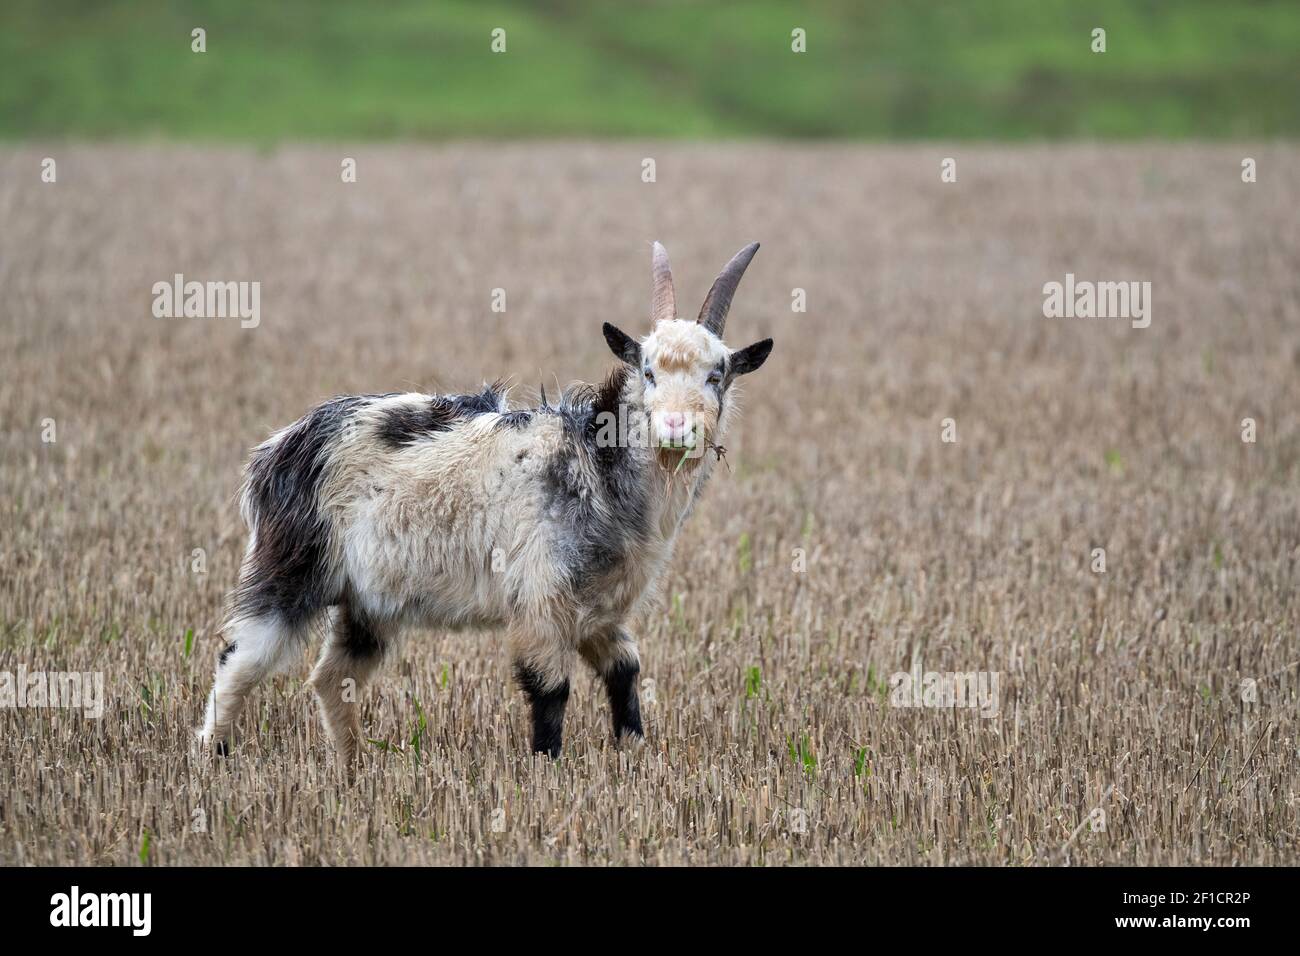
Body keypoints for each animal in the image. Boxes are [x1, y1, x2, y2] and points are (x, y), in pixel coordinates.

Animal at [197, 242, 773, 766]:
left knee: (332, 676)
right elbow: (550, 692)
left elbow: (625, 671)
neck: (591, 460)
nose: (676, 428)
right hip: (289, 566)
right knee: (238, 660)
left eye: (717, 374)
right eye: (648, 371)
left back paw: (352, 770)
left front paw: (633, 755)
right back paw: (212, 756)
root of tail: (276, 450)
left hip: (367, 599)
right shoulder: (542, 597)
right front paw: (547, 772)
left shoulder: (596, 609)